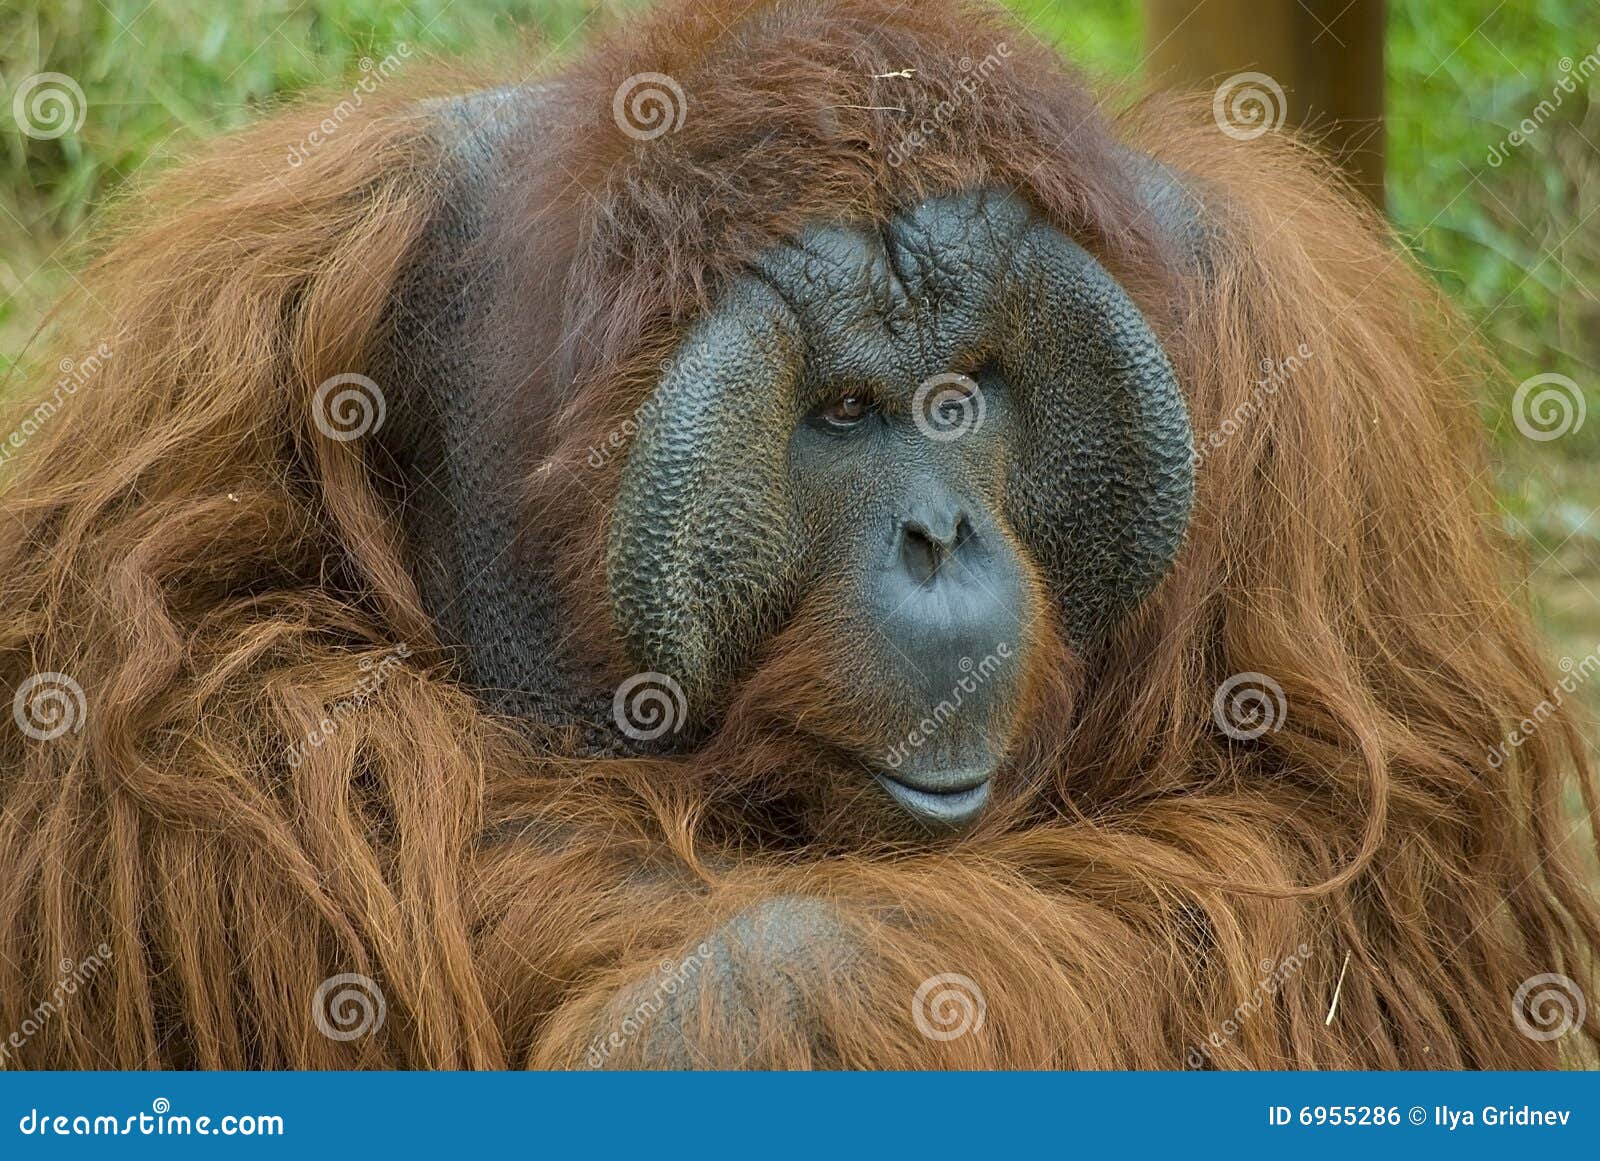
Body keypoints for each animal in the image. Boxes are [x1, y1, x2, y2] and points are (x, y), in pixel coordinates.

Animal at [0, 0, 1596, 1069]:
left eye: (965, 397)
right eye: (842, 411)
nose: (941, 533)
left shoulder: (1291, 333)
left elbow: (1346, 873)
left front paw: (751, 1003)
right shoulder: (285, 273)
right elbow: (169, 717)